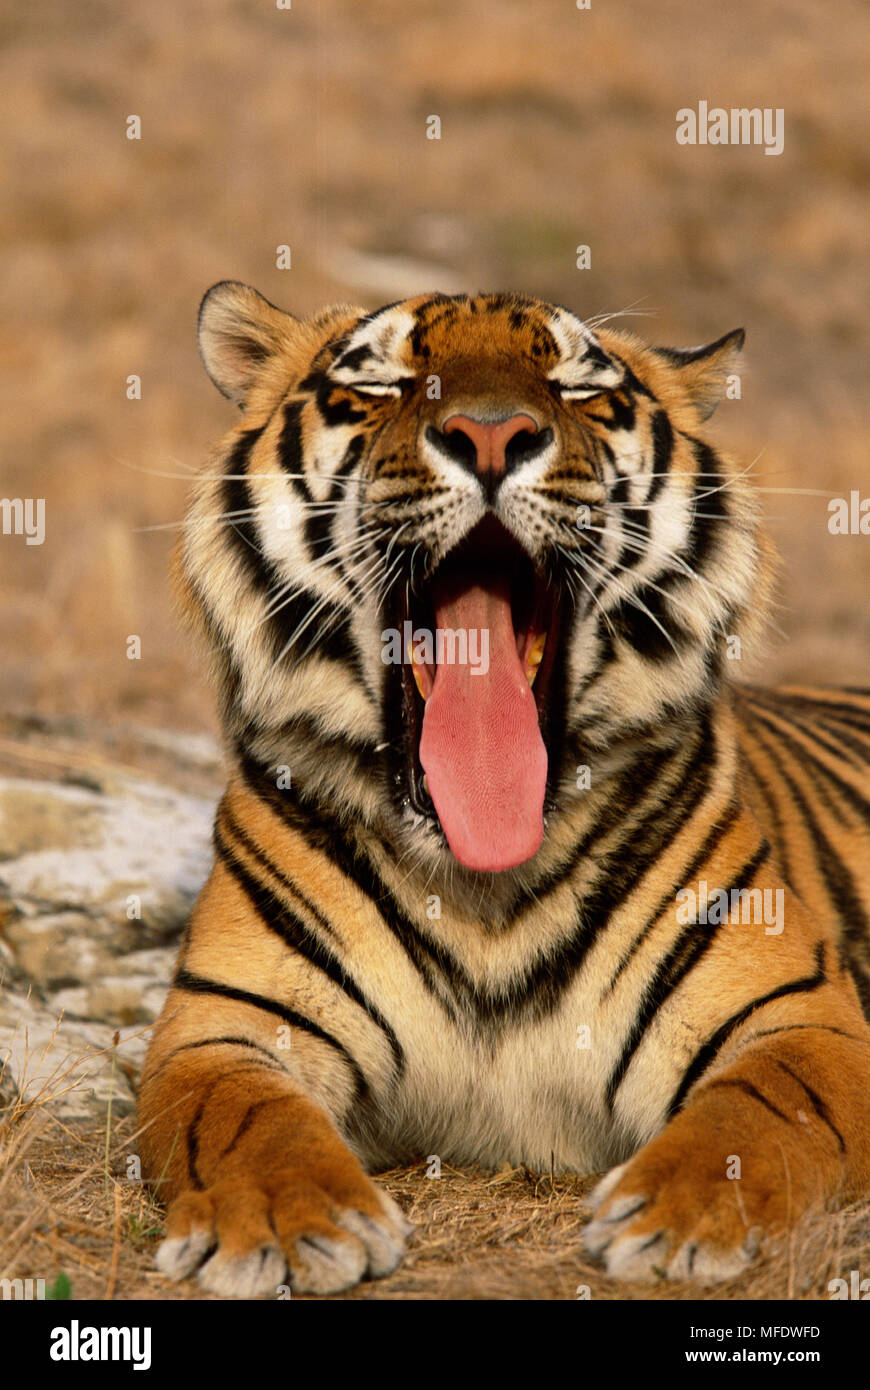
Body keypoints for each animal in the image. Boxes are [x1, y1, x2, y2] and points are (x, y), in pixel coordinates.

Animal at [138, 282, 870, 1297]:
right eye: (381, 382)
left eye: (581, 388)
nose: (492, 436)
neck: (484, 881)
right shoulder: (223, 1025)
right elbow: (246, 1119)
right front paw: (286, 1224)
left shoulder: (799, 1014)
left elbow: (761, 1111)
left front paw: (679, 1217)